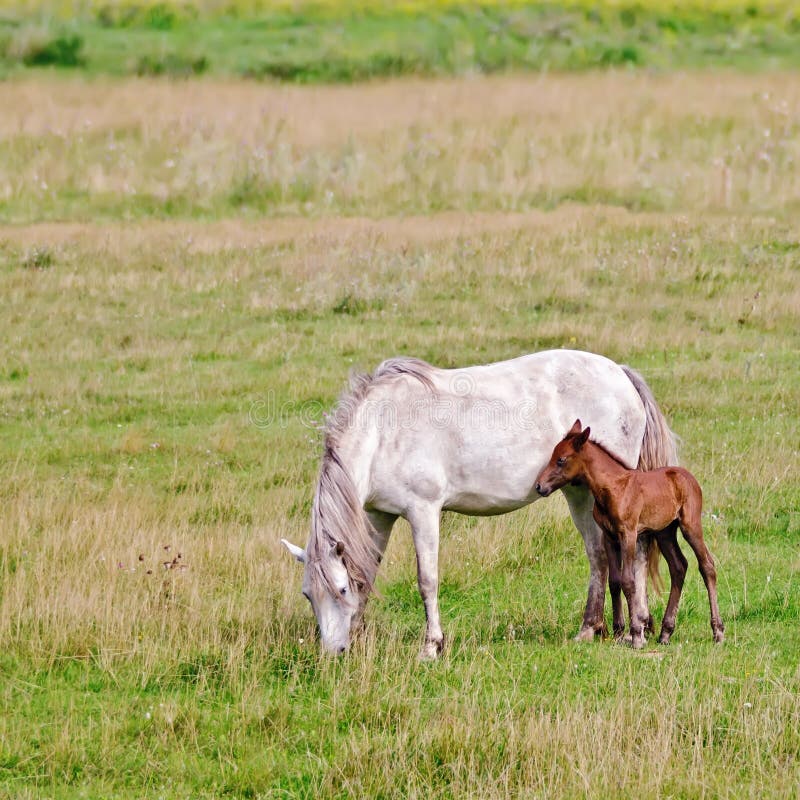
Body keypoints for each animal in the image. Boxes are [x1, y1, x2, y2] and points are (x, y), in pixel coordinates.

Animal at [281, 350, 677, 658]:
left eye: (339, 590)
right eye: (308, 595)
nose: (333, 651)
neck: (384, 431)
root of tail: (620, 373)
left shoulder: (423, 512)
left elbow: (427, 580)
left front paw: (431, 646)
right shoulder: (377, 516)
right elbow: (367, 571)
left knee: (636, 553)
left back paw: (638, 628)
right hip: (579, 493)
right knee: (599, 556)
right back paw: (593, 628)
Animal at [535, 419, 724, 648]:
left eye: (561, 459)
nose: (539, 486)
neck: (613, 487)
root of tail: (688, 477)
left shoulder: (629, 534)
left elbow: (628, 580)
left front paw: (635, 635)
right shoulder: (609, 536)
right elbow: (615, 581)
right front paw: (618, 631)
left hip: (690, 525)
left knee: (707, 565)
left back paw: (718, 631)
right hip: (664, 532)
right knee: (679, 566)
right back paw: (666, 632)